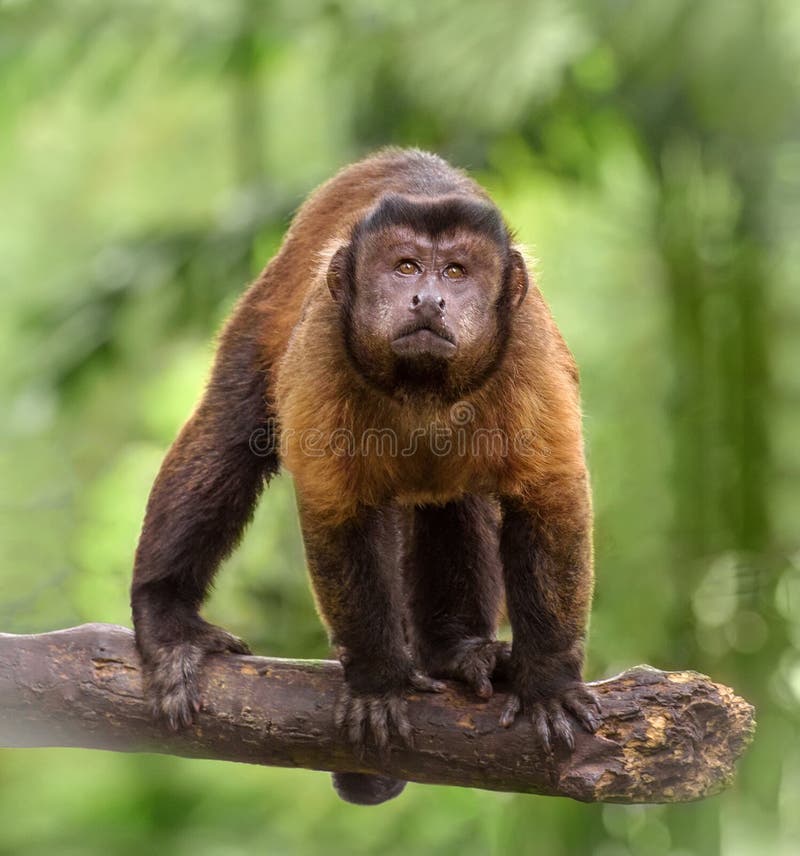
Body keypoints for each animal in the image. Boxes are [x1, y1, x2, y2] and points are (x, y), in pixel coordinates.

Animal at [131, 148, 600, 806]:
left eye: (456, 272)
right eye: (405, 267)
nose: (428, 299)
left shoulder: (528, 346)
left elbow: (550, 498)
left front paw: (549, 683)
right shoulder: (326, 341)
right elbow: (337, 509)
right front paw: (379, 682)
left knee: (455, 499)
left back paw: (455, 652)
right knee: (230, 431)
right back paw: (164, 614)